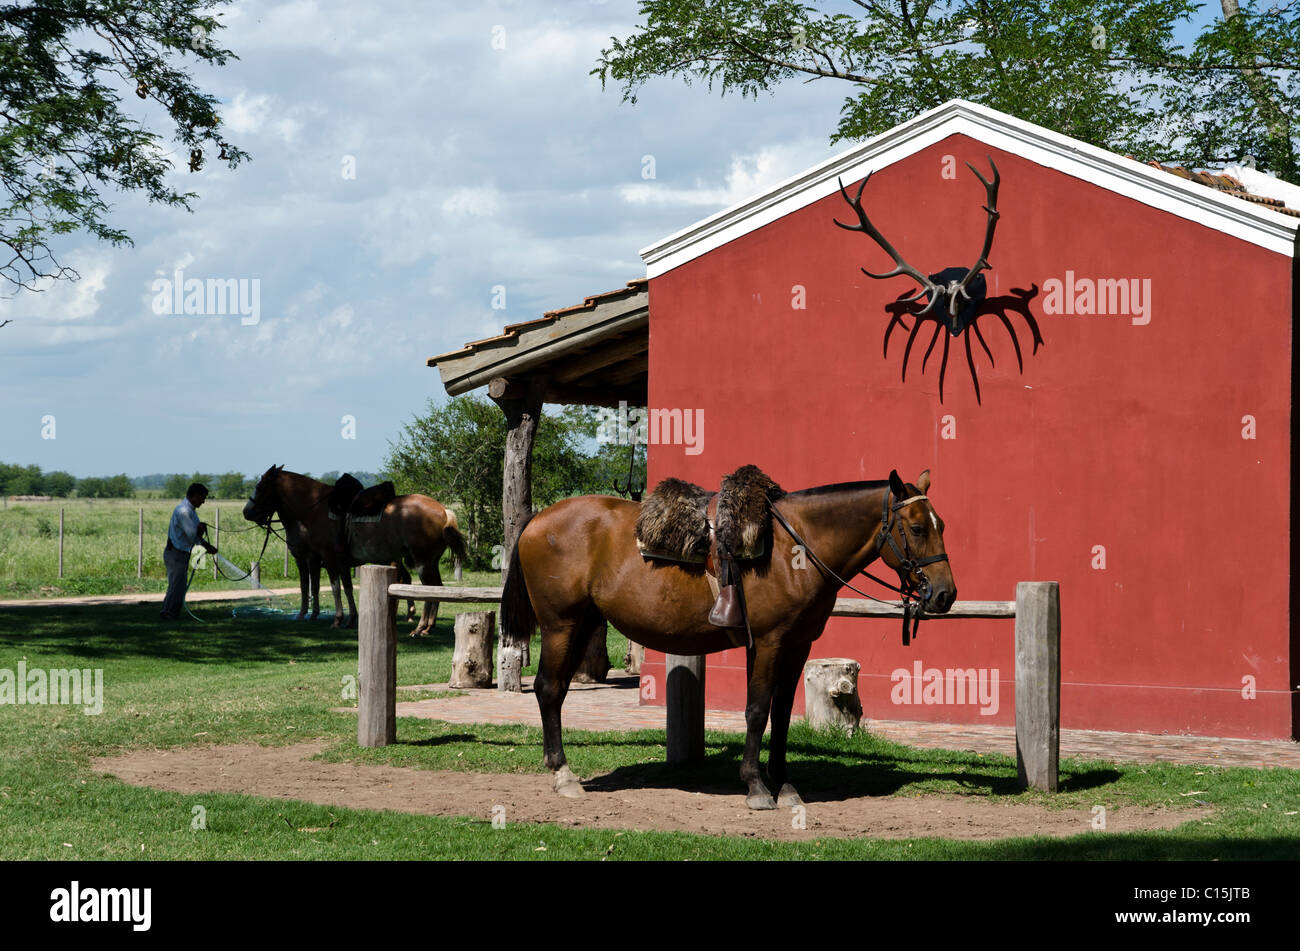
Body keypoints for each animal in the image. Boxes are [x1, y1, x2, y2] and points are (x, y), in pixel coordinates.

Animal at [244, 465, 467, 634]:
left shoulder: (326, 559)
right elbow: (347, 588)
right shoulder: (340, 562)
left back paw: (420, 627)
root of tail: (444, 512)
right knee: (437, 588)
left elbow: (333, 588)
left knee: (428, 590)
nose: (247, 512)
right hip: (430, 562)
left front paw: (336, 619)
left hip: (422, 562)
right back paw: (428, 627)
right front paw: (351, 619)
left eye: (260, 486)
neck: (315, 509)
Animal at [501, 467, 961, 810]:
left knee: (557, 691)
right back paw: (564, 775)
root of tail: (537, 520)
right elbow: (757, 711)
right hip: (561, 625)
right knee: (548, 690)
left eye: (940, 524)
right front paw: (756, 787)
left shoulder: (797, 646)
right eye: (916, 528)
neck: (794, 548)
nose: (945, 594)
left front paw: (785, 785)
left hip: (582, 624)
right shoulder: (769, 642)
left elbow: (781, 715)